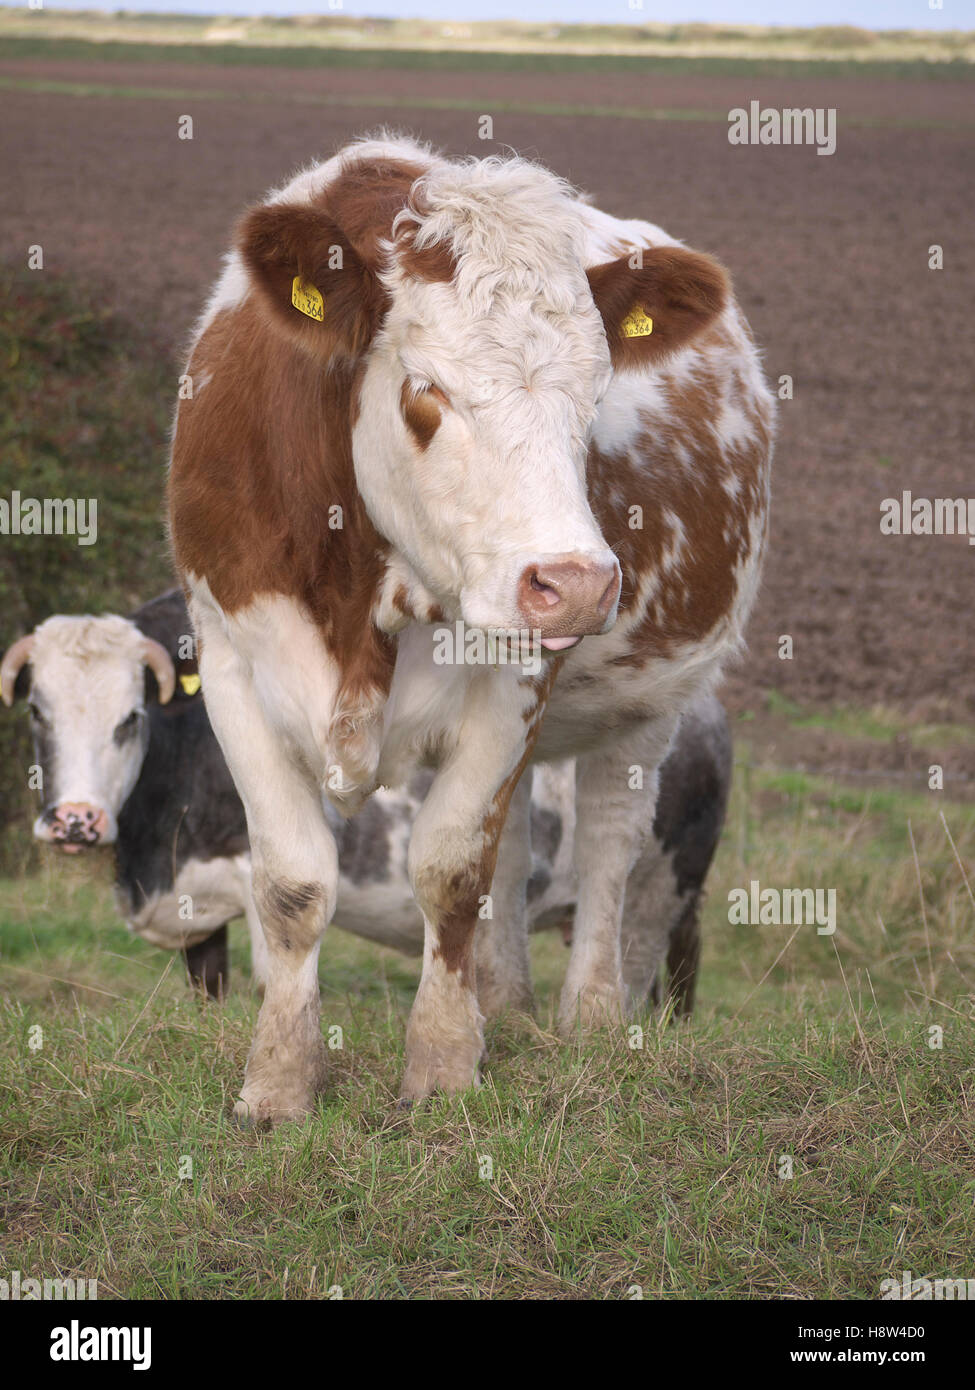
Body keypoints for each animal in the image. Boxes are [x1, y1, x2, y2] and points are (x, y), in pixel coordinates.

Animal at [2, 592, 732, 1013]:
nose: (75, 821)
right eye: (38, 711)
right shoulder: (198, 908)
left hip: (666, 888)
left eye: (130, 717)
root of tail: (700, 707)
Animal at [168, 134, 772, 1122]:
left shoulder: (516, 679)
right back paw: (508, 1004)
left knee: (606, 847)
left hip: (646, 707)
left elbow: (451, 870)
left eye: (596, 391)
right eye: (425, 389)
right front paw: (278, 1083)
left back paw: (587, 1019)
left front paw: (444, 1067)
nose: (575, 583)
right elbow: (293, 884)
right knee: (520, 844)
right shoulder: (229, 665)